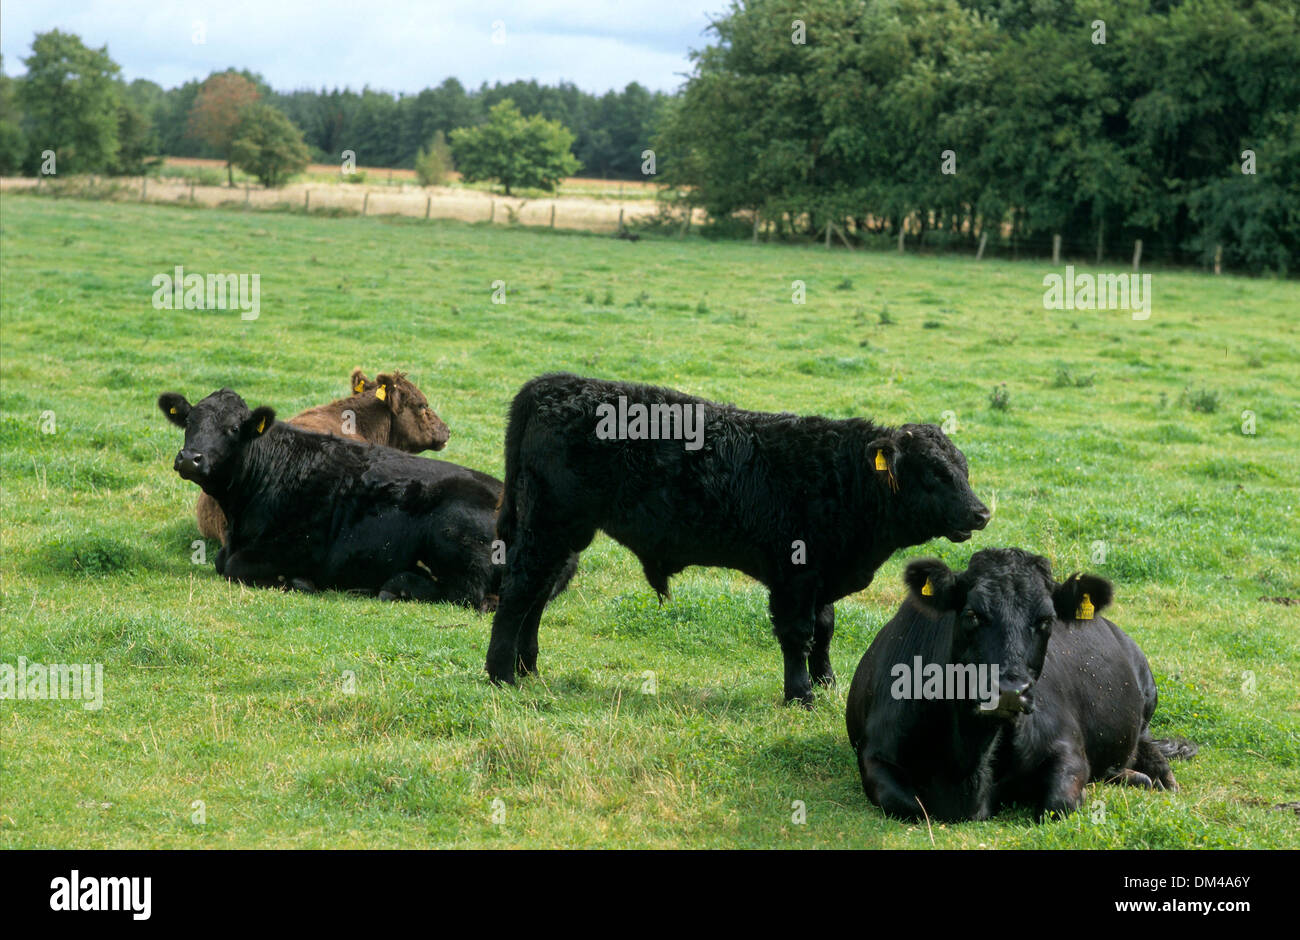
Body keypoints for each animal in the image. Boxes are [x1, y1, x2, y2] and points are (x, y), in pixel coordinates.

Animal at [160, 387, 501, 607]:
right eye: (189, 421)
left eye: (233, 428)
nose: (190, 458)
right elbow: (221, 561)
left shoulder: (300, 548)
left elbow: (232, 566)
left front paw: (297, 582)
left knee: (466, 593)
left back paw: (397, 586)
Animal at [485, 372, 991, 704]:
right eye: (934, 473)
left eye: (963, 468)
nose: (982, 512)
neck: (842, 477)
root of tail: (556, 384)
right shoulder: (793, 578)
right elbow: (798, 635)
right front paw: (800, 694)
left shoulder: (823, 577)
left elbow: (826, 629)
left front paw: (826, 682)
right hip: (547, 527)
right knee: (519, 592)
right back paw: (500, 675)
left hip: (564, 535)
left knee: (538, 595)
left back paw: (527, 668)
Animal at [845, 548, 1196, 822]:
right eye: (972, 614)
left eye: (1046, 620)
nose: (1010, 692)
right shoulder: (875, 752)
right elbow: (909, 806)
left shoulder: (1068, 746)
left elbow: (1058, 803)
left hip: (1146, 698)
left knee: (1144, 743)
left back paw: (1156, 777)